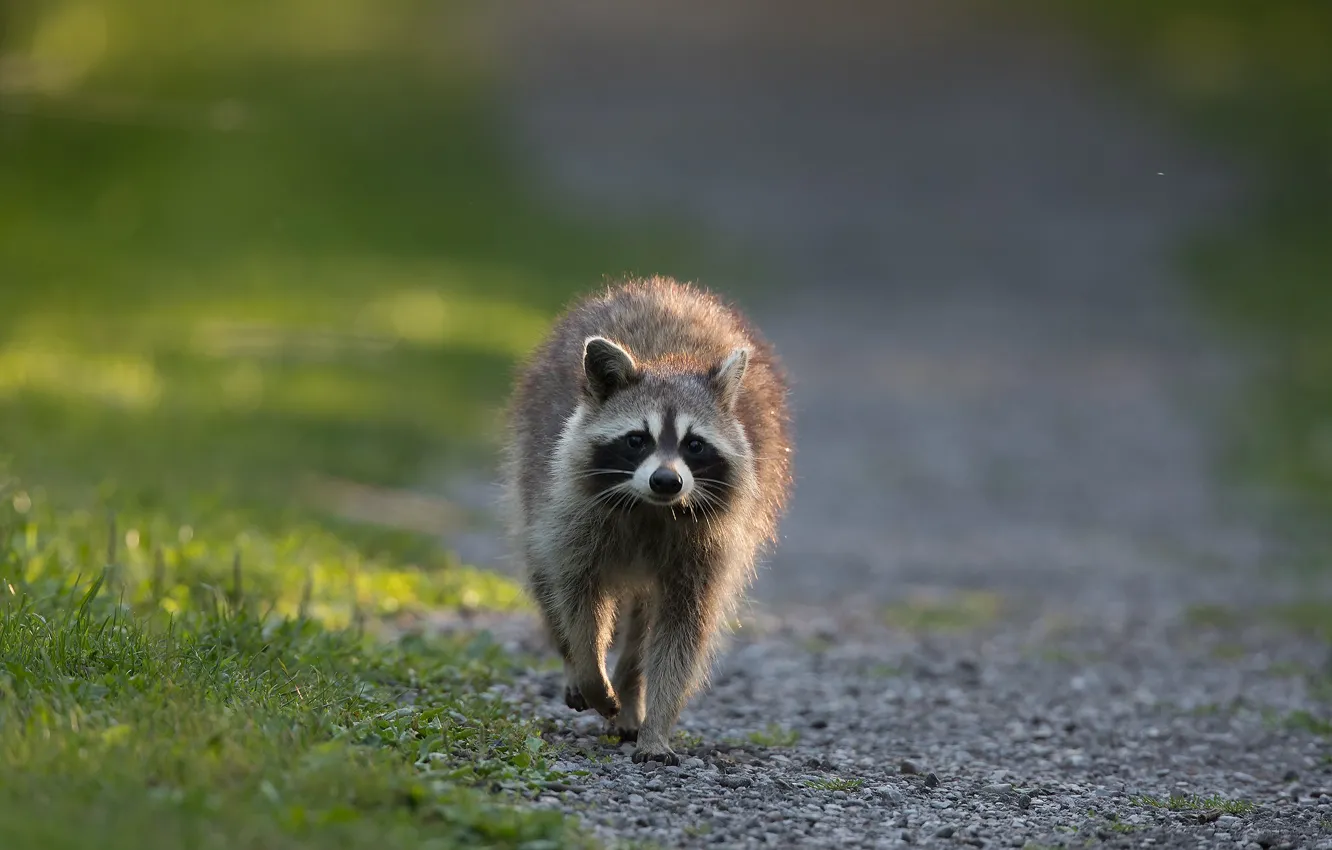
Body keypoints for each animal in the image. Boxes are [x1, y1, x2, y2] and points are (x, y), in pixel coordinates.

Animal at [502, 276, 793, 764]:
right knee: (545, 577)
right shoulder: (570, 513)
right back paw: (579, 668)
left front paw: (658, 724)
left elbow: (682, 633)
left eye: (695, 445)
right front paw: (589, 672)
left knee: (644, 625)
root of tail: (662, 288)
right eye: (637, 440)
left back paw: (631, 690)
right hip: (532, 474)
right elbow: (578, 597)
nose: (666, 481)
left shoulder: (708, 546)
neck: (651, 509)